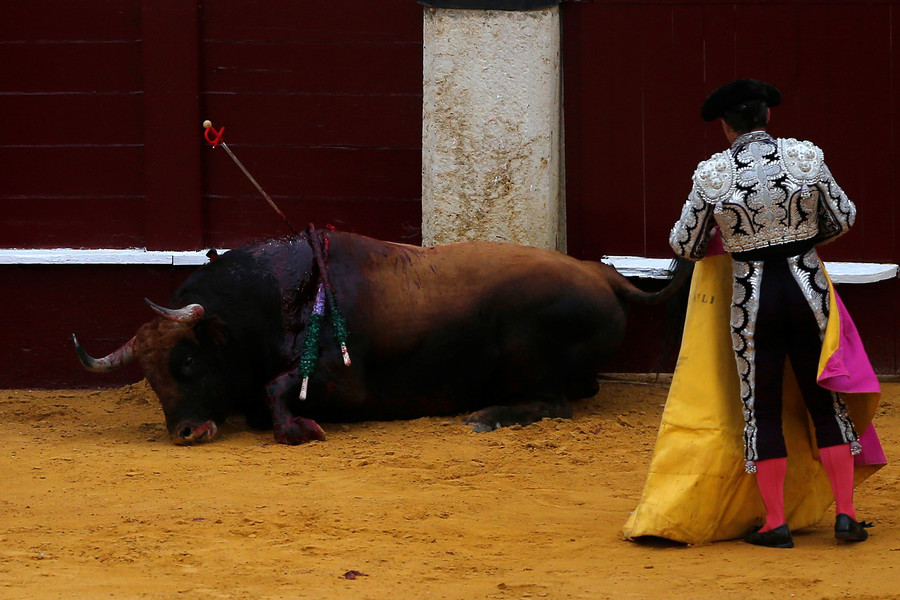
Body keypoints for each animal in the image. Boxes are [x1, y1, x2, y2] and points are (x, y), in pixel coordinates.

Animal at [74, 229, 690, 445]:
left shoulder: (341, 380)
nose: (186, 431)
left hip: (525, 345)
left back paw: (486, 415)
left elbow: (277, 391)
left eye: (189, 362)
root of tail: (601, 273)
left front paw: (300, 429)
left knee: (556, 404)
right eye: (149, 377)